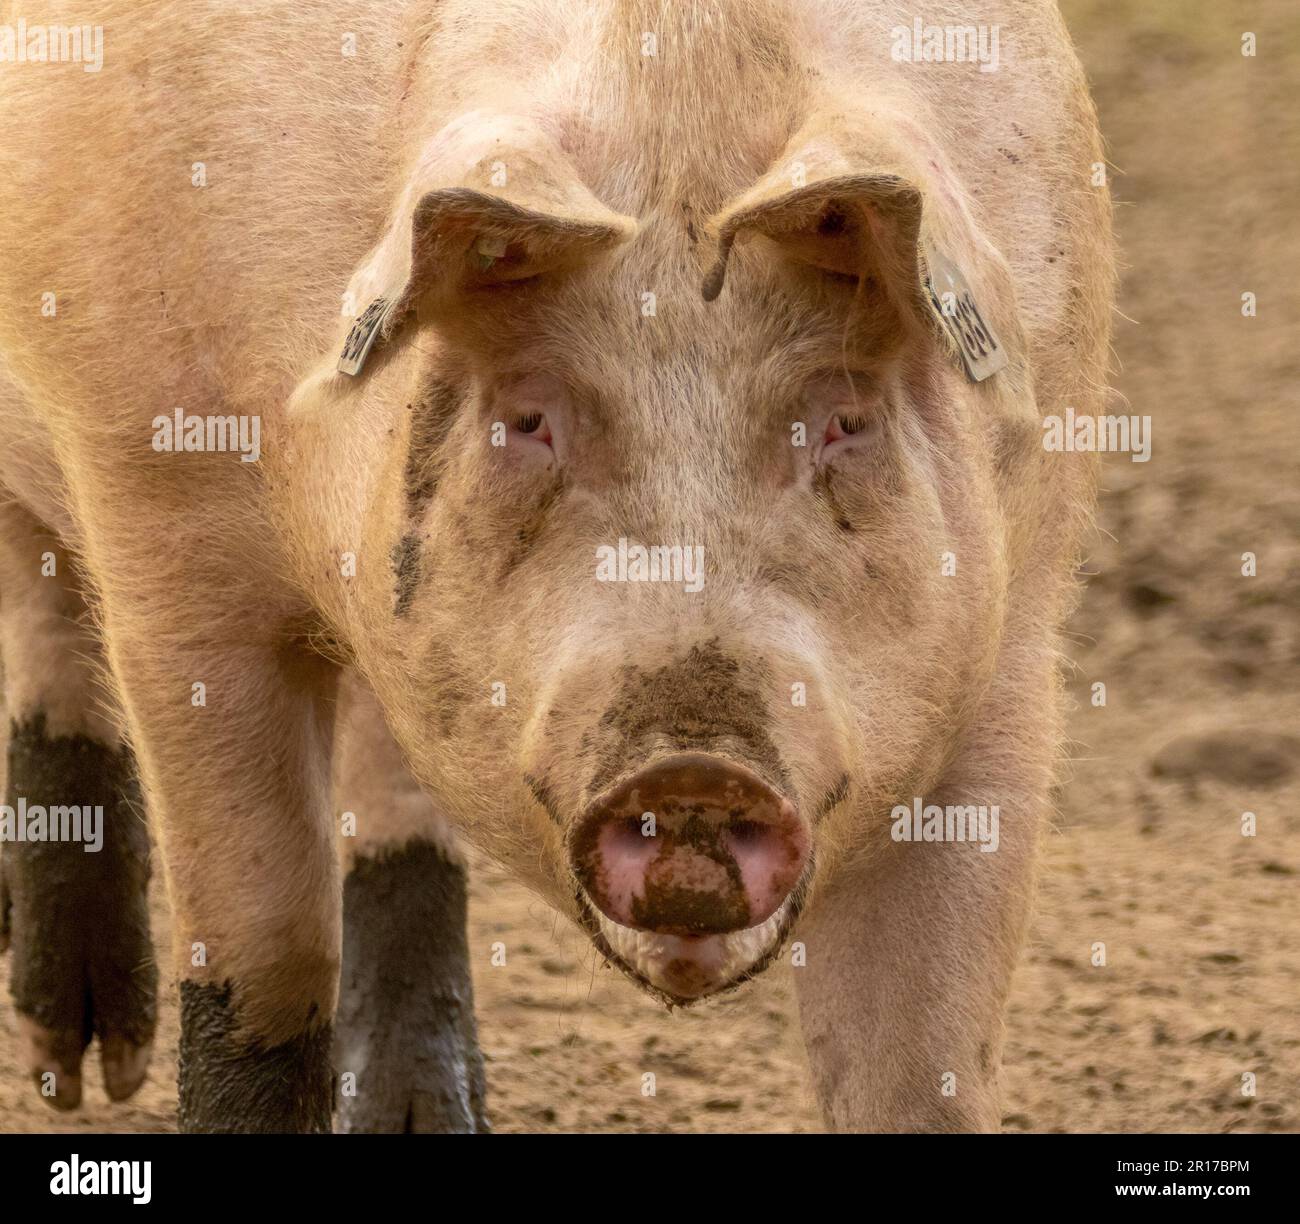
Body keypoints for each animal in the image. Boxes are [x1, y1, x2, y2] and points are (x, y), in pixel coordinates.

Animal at [0, 0, 1112, 1133]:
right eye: (527, 417)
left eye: (845, 420)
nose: (695, 768)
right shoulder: (158, 520)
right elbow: (265, 960)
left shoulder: (1013, 638)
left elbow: (919, 1064)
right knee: (38, 589)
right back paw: (77, 1072)